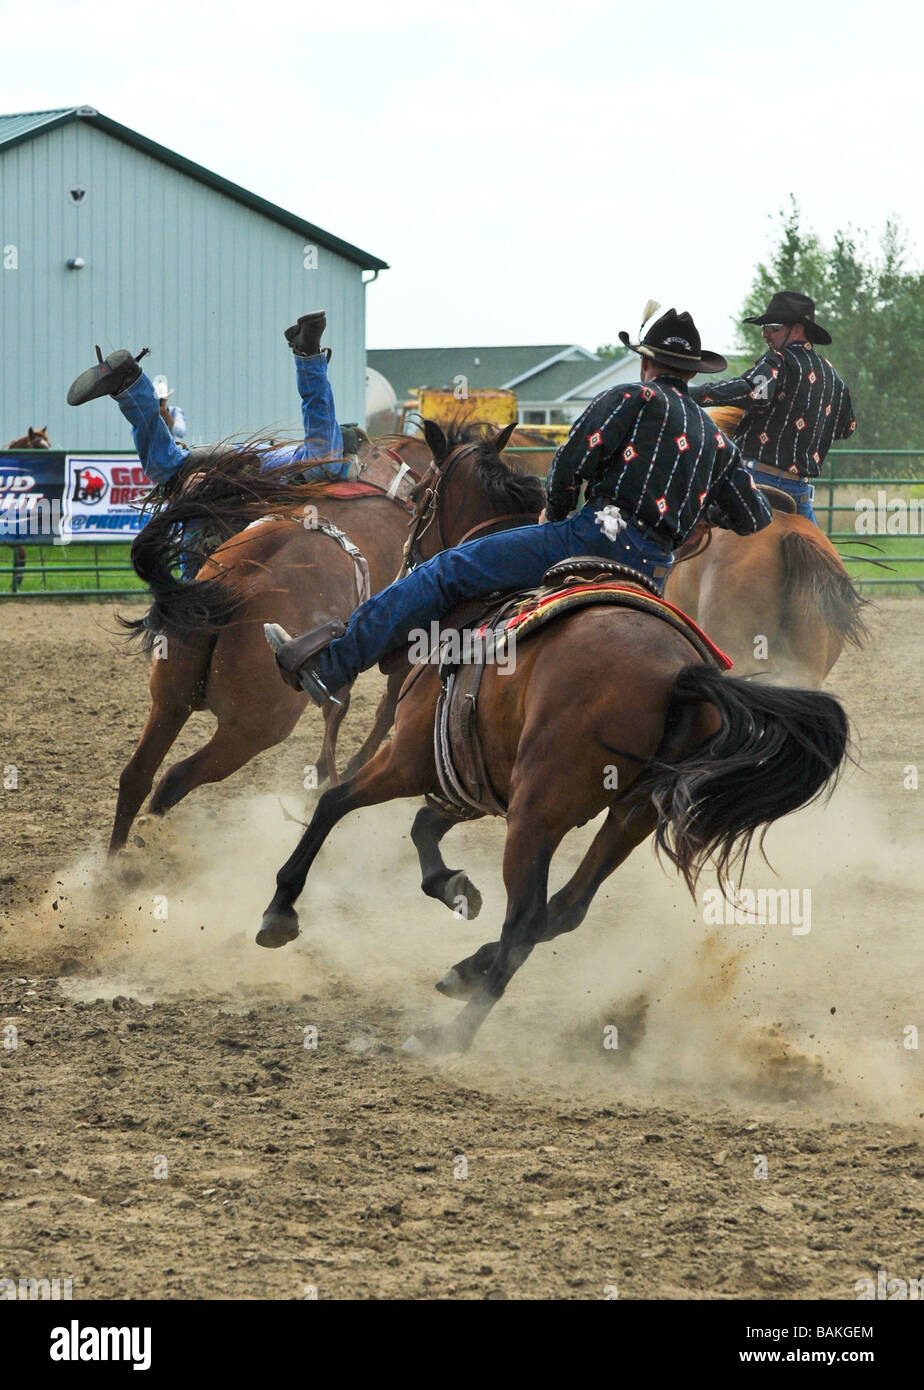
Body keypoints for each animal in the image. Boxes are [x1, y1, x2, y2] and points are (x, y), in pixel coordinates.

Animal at [255, 421, 850, 1056]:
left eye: (420, 498)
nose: (409, 559)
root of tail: (680, 674)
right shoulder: (475, 779)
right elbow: (422, 827)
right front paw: (455, 887)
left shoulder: (411, 758)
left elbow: (335, 803)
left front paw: (280, 911)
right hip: (628, 816)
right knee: (564, 909)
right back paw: (466, 971)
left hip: (539, 811)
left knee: (526, 919)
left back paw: (448, 1036)